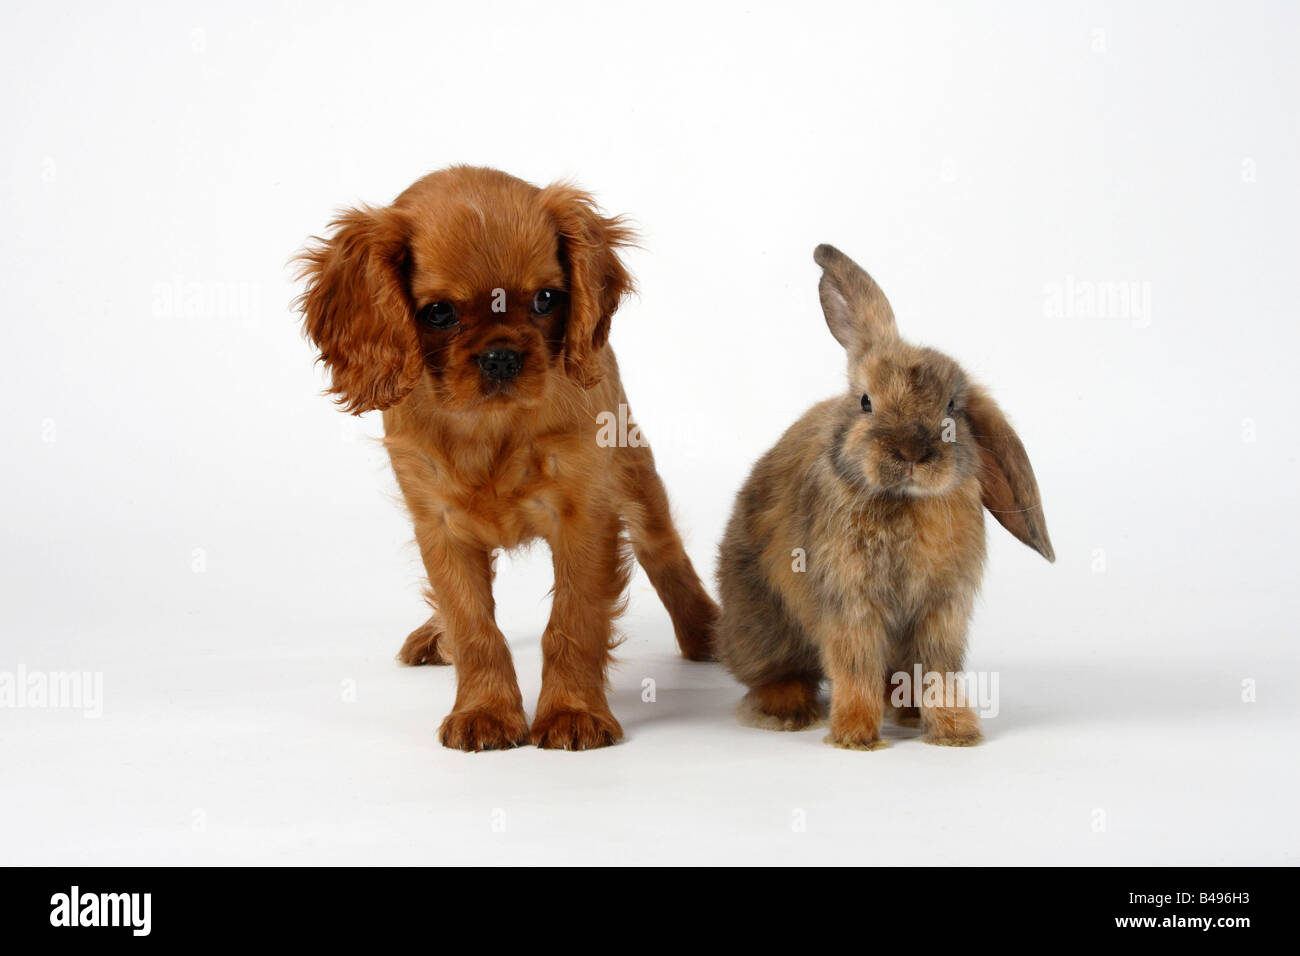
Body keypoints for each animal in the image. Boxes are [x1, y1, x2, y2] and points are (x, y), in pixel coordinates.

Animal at [714, 244, 1054, 749]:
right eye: (866, 402)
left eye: (952, 407)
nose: (912, 452)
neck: (905, 499)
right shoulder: (850, 602)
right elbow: (854, 667)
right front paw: (855, 737)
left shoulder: (942, 611)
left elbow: (938, 672)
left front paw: (956, 733)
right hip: (761, 624)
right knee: (775, 672)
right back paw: (787, 710)